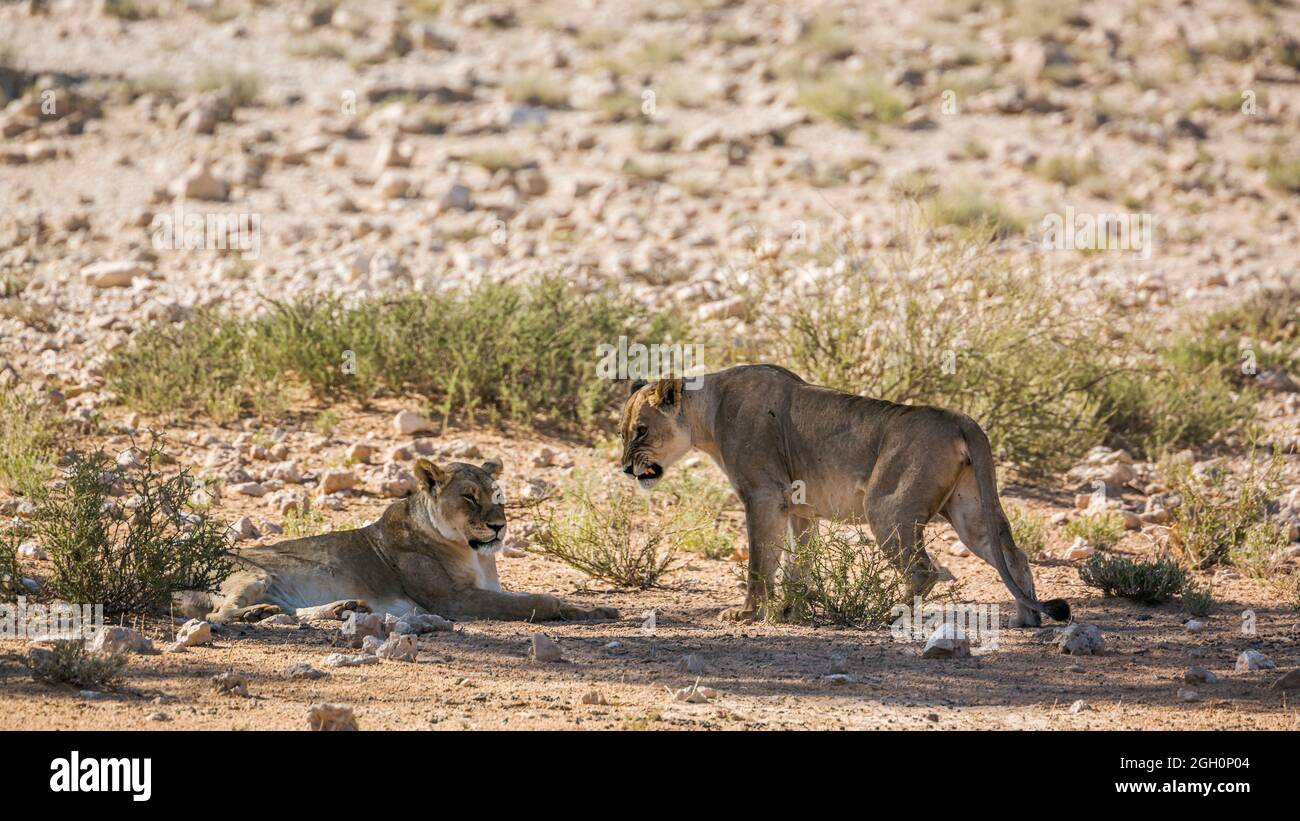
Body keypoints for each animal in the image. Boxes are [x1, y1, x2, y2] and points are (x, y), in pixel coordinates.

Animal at [175, 458, 618, 624]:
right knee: (217, 616)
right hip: (252, 575)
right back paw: (255, 614)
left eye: (498, 496)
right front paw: (579, 611)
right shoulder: (452, 601)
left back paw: (340, 608)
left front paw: (597, 609)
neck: (475, 555)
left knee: (289, 612)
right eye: (469, 497)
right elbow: (535, 601)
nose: (499, 526)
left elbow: (531, 596)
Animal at [620, 365, 1070, 627]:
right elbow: (799, 561)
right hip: (970, 512)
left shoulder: (762, 494)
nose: (624, 468)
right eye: (624, 433)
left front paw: (748, 613)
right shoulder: (799, 507)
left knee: (926, 570)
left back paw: (886, 615)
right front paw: (792, 610)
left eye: (640, 431)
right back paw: (1027, 619)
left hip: (886, 508)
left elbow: (760, 562)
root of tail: (960, 418)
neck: (708, 412)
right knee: (1014, 555)